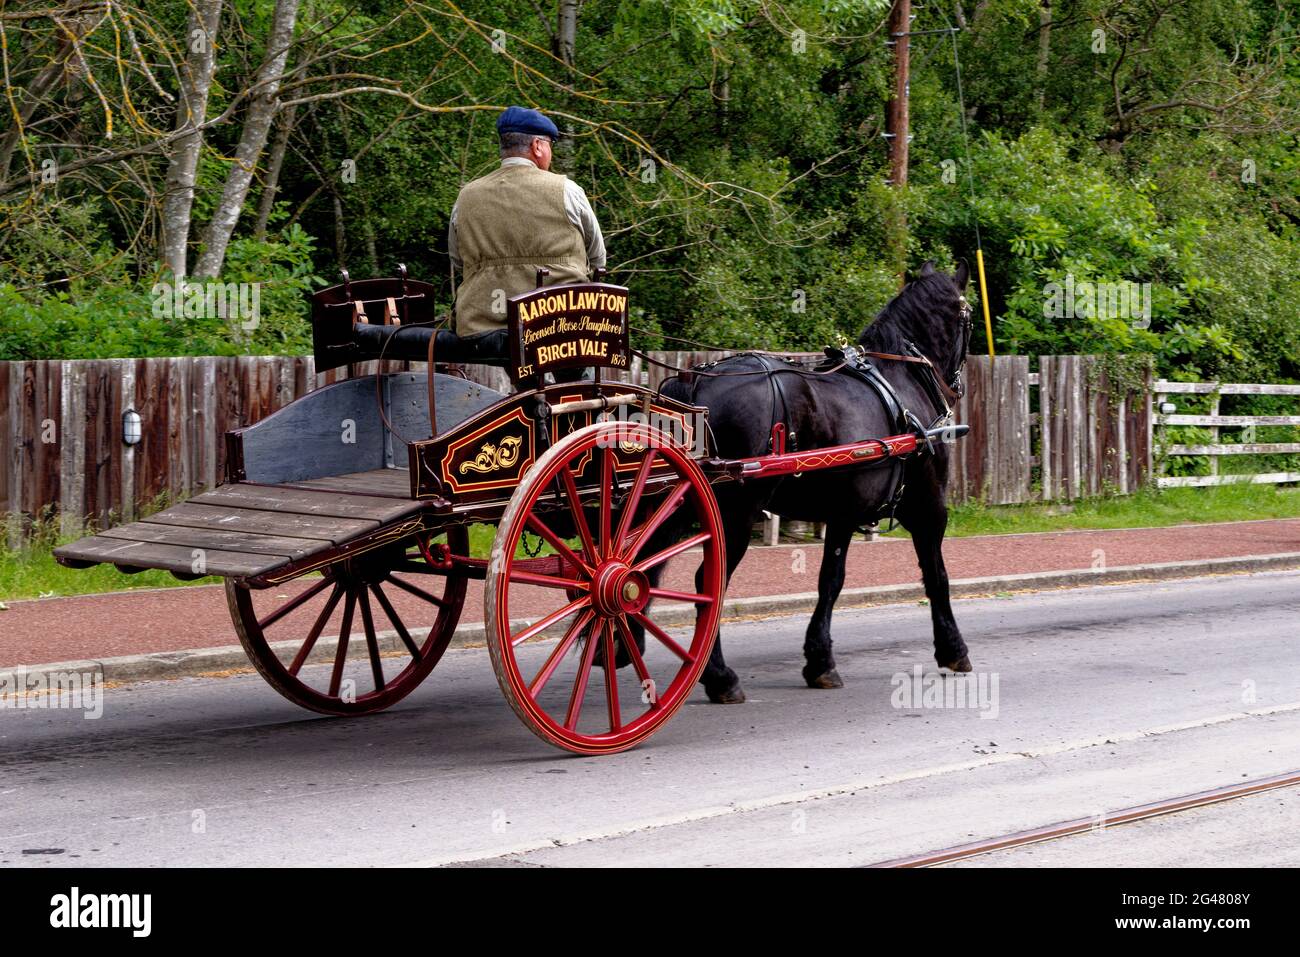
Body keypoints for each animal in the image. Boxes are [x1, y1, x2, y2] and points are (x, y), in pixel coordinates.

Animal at [642, 260, 975, 704]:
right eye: (968, 319)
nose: (954, 386)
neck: (901, 380)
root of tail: (696, 379)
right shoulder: (926, 506)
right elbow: (934, 575)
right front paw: (952, 649)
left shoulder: (843, 514)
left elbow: (829, 581)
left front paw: (818, 659)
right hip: (736, 513)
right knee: (705, 584)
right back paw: (719, 676)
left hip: (681, 501)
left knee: (645, 568)